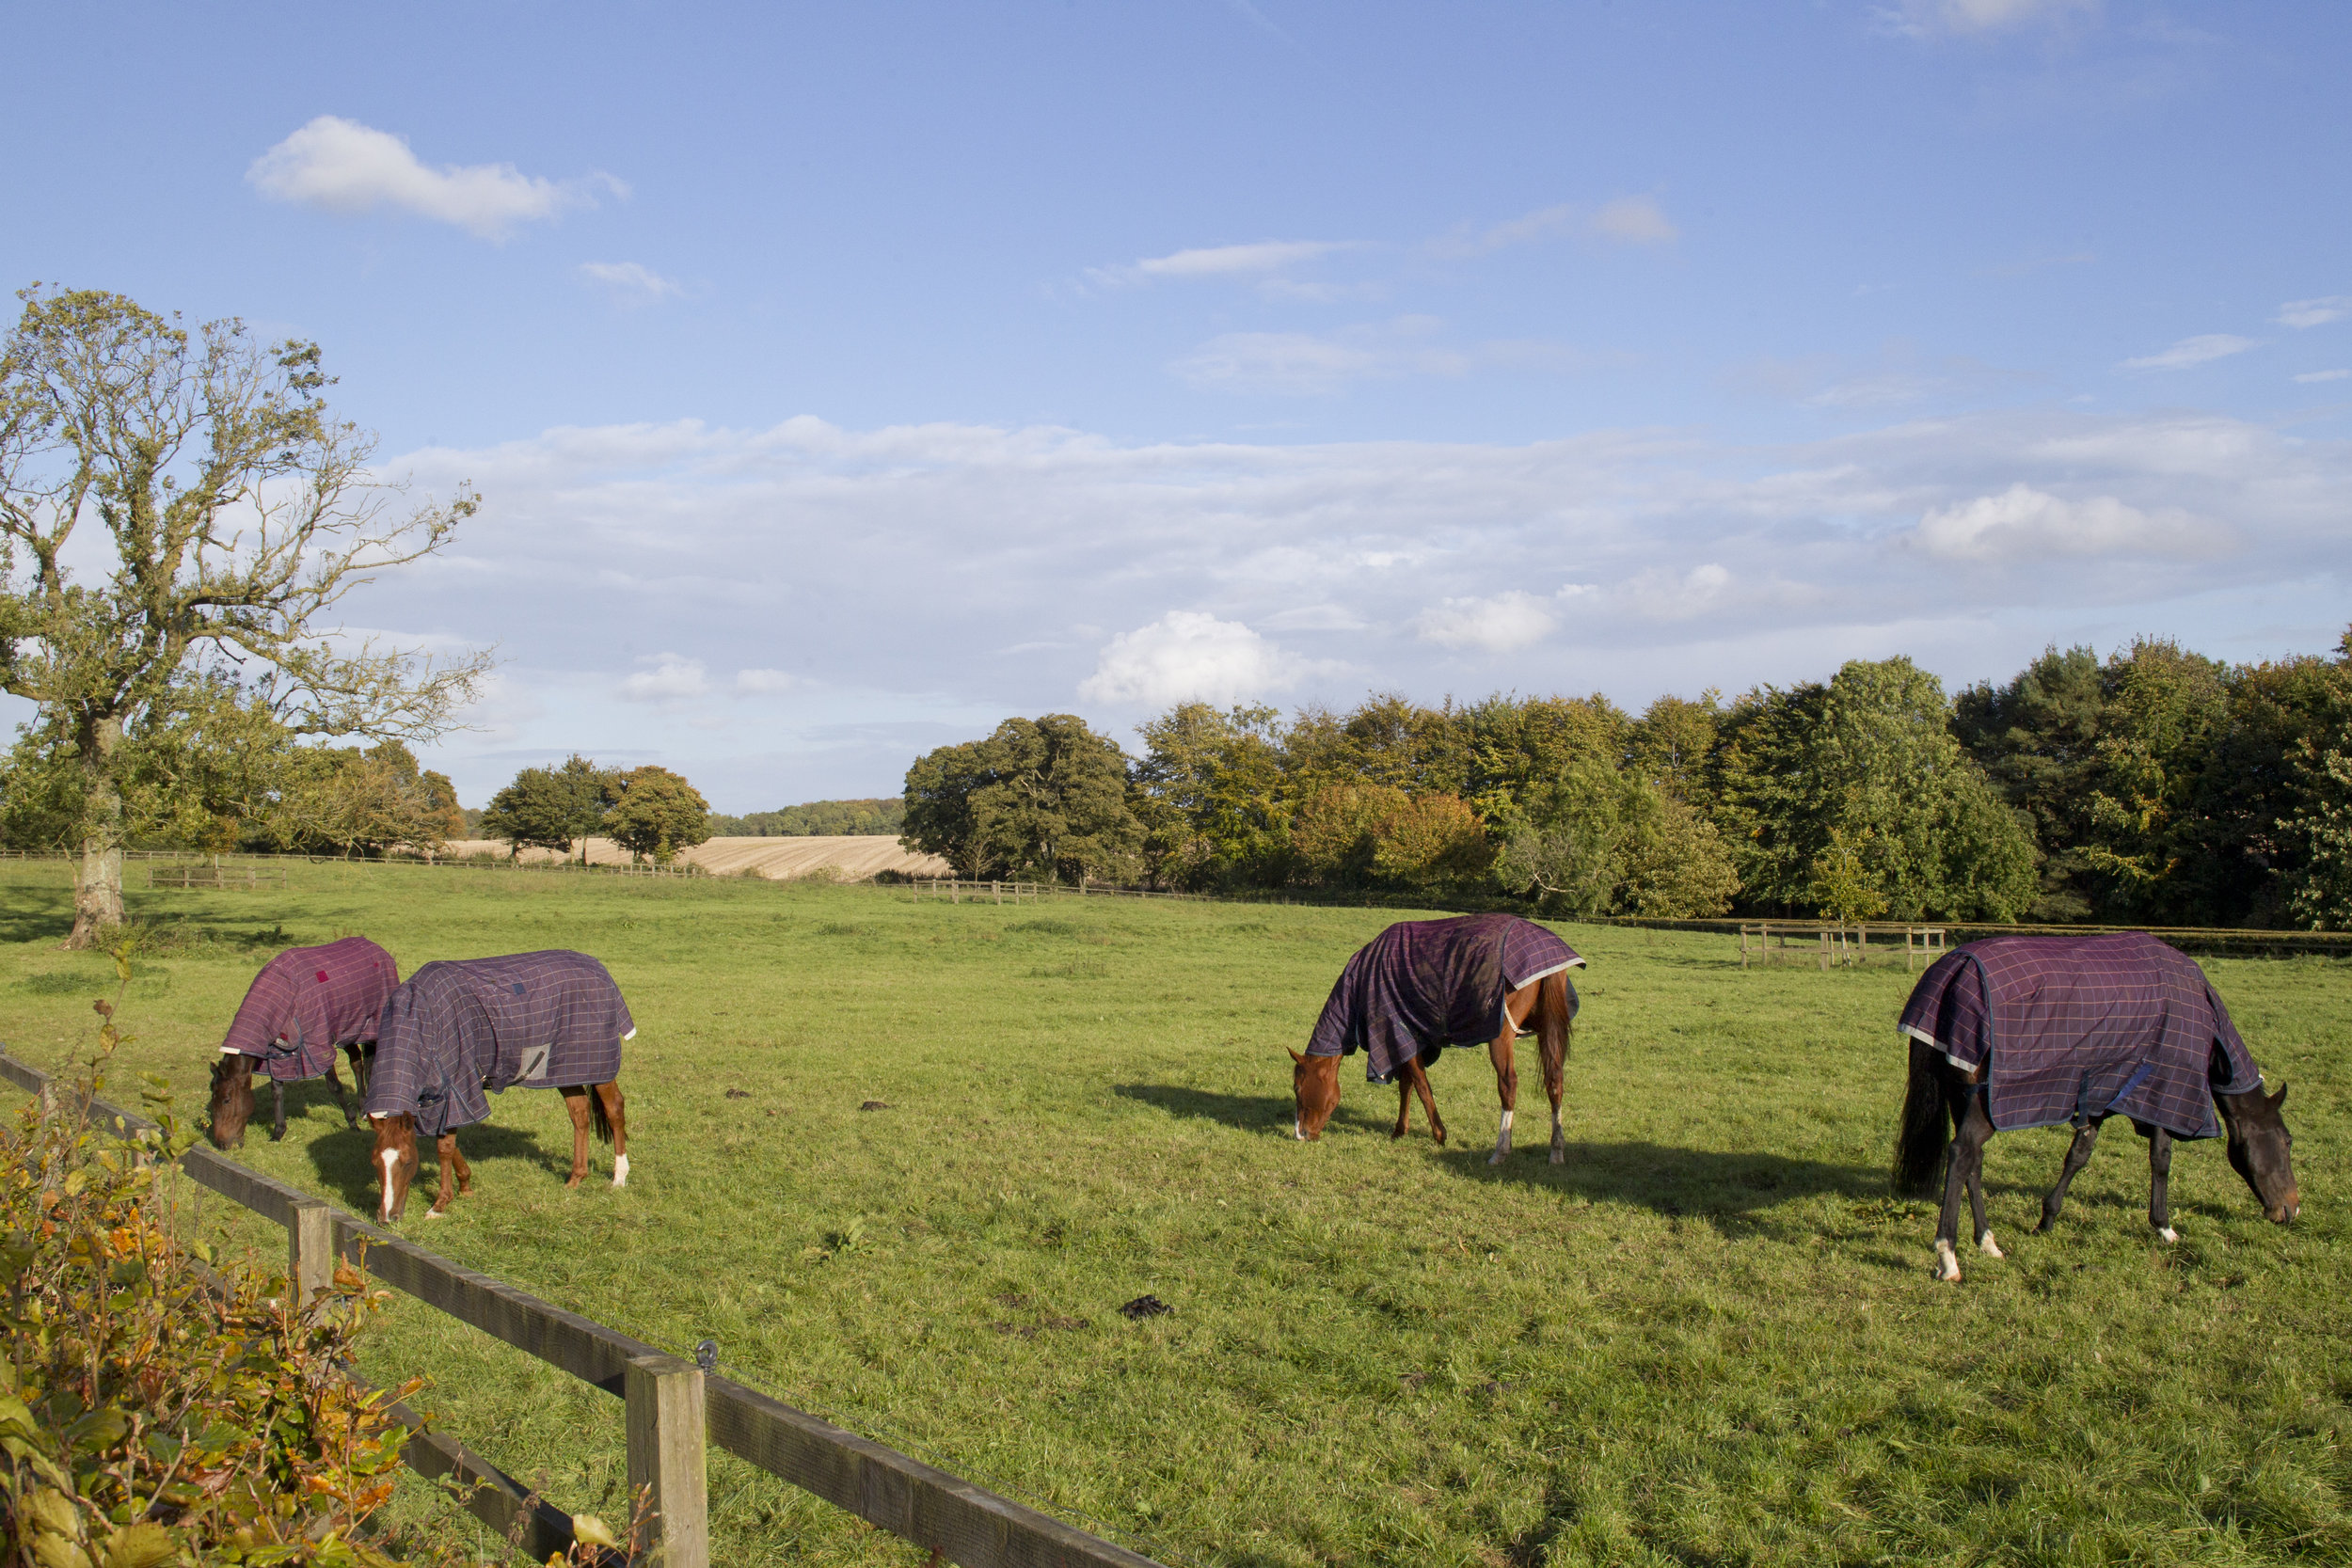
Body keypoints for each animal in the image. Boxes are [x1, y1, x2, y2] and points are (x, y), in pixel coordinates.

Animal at [206, 937, 400, 1148]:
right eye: (212, 1097)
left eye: (226, 1099)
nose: (221, 1144)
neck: (283, 996)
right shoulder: (277, 1053)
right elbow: (277, 1090)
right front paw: (278, 1133)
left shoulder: (317, 1047)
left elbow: (334, 1086)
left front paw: (351, 1123)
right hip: (349, 1027)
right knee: (357, 1061)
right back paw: (363, 1107)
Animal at [361, 950, 635, 1223]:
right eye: (374, 1162)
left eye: (407, 1162)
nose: (386, 1218)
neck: (423, 1021)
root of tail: (598, 967)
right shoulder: (435, 1100)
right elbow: (447, 1140)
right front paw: (465, 1185)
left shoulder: (457, 1090)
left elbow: (445, 1147)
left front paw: (440, 1204)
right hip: (565, 1071)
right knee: (579, 1113)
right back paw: (576, 1178)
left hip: (599, 1066)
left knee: (614, 1109)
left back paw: (619, 1177)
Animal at [1291, 912, 1582, 1165]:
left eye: (1297, 1088)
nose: (1301, 1134)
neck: (1363, 981)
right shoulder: (1411, 1041)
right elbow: (1406, 1085)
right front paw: (1400, 1130)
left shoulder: (1400, 1036)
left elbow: (1421, 1086)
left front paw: (1439, 1134)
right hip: (1548, 1028)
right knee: (1554, 1080)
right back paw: (1556, 1151)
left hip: (1501, 1036)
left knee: (1508, 1084)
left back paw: (1500, 1151)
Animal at [1890, 932, 2298, 1282]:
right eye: (2288, 1140)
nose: (2291, 1210)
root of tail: (1952, 970)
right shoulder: (2161, 1094)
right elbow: (2161, 1160)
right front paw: (2164, 1227)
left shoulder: (2101, 1094)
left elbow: (2078, 1156)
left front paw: (2047, 1219)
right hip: (1984, 1107)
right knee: (1961, 1155)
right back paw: (1949, 1258)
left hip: (1964, 1099)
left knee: (1973, 1163)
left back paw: (1988, 1243)